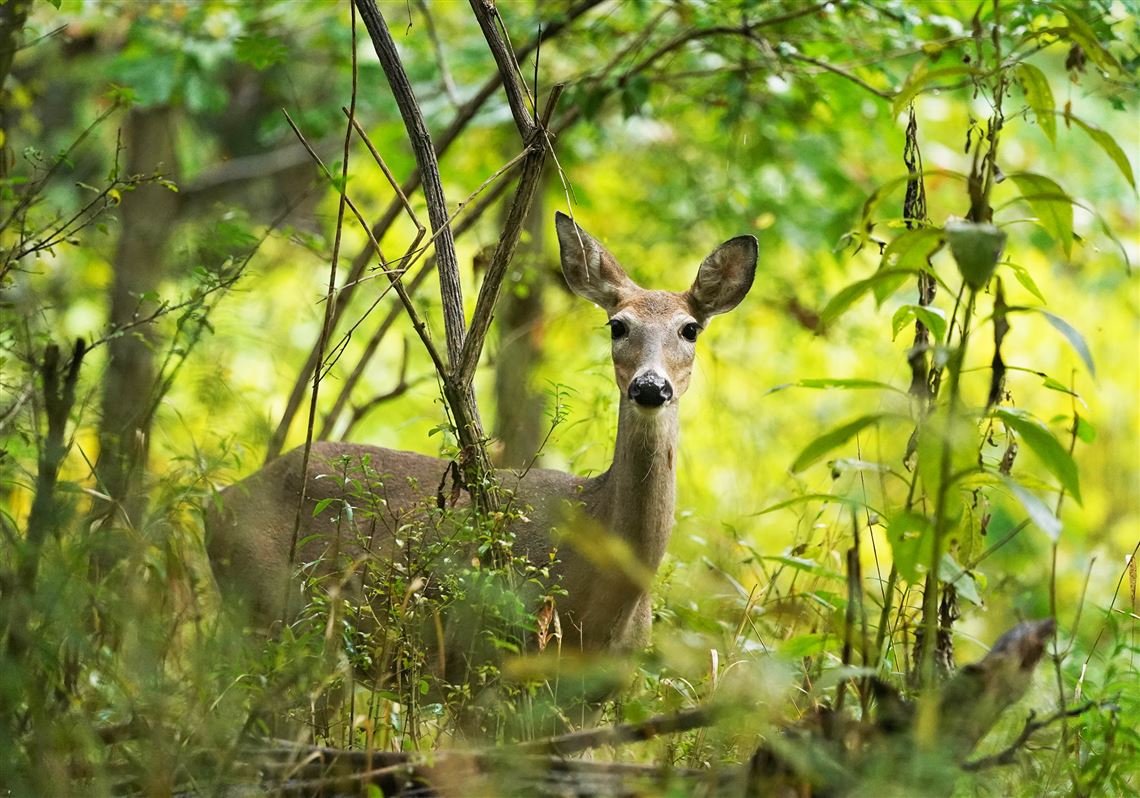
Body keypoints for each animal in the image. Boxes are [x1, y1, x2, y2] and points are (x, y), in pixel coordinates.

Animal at [206, 211, 756, 668]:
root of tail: (217, 501)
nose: (649, 386)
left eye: (690, 329)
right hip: (268, 614)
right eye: (617, 325)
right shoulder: (484, 666)